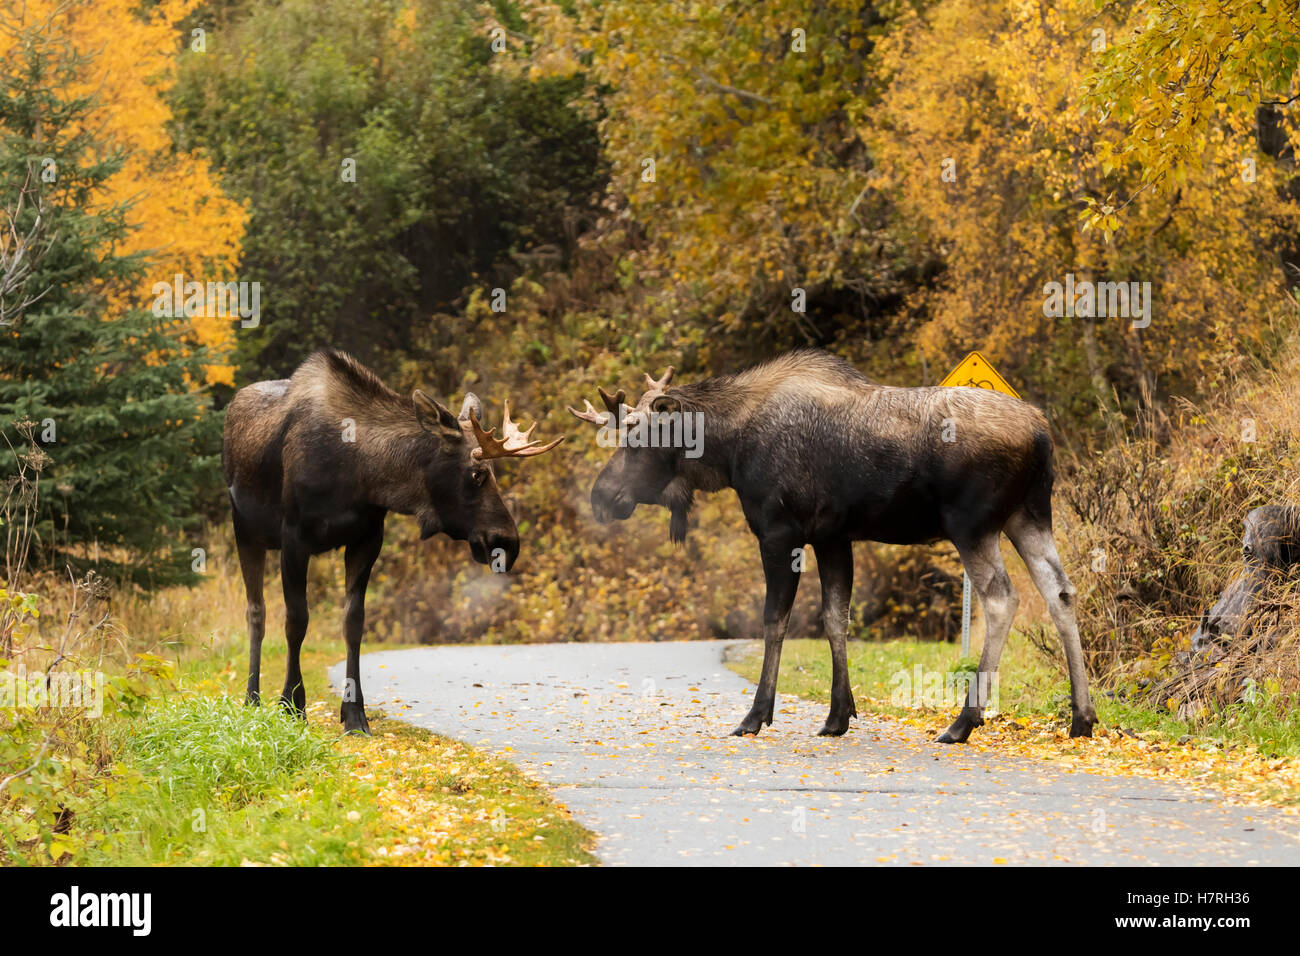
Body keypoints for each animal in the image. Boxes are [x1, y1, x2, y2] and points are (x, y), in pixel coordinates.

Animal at [222, 348, 562, 734]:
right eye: (476, 474)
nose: (508, 541)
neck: (363, 475)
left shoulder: (368, 539)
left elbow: (354, 622)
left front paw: (355, 715)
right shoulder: (294, 539)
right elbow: (296, 621)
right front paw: (292, 705)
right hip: (245, 532)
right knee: (257, 612)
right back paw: (251, 699)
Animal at [569, 349, 1097, 743]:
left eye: (636, 439)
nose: (601, 497)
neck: (728, 450)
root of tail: (1042, 434)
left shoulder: (780, 533)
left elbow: (775, 621)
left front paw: (755, 716)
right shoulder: (833, 537)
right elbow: (834, 618)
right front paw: (839, 715)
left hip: (973, 525)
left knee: (1003, 598)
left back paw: (963, 722)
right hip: (1029, 516)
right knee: (1061, 591)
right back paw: (1082, 717)